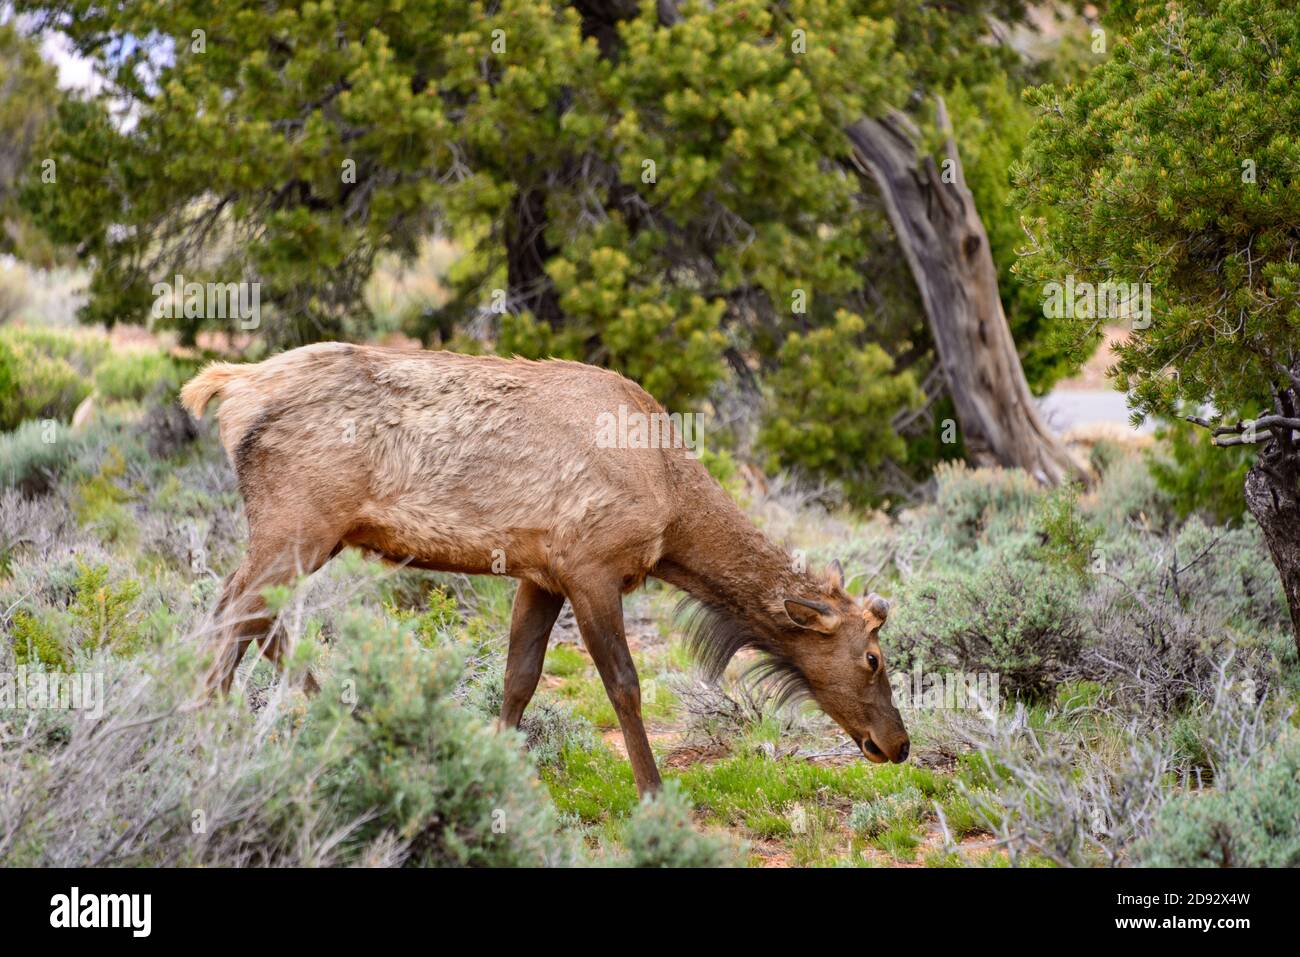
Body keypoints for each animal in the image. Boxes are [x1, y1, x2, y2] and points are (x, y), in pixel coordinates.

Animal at [180, 342, 910, 796]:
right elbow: (624, 685)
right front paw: (653, 792)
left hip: (307, 534)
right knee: (235, 615)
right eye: (872, 658)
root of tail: (230, 388)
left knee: (247, 616)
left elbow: (520, 679)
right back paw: (207, 732)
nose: (897, 743)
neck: (672, 508)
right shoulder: (591, 566)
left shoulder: (540, 573)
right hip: (298, 524)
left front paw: (492, 767)